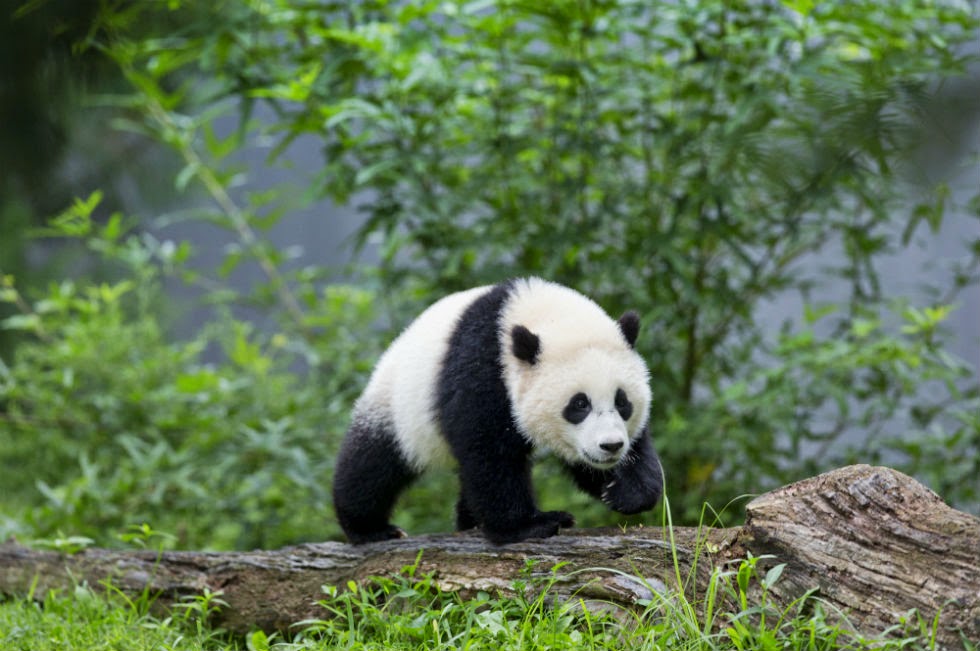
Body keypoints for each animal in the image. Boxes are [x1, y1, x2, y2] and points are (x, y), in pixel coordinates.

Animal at [332, 277, 664, 545]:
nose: (611, 446)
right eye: (579, 404)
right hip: (400, 406)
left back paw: (468, 522)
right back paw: (370, 528)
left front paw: (625, 491)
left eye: (622, 402)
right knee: (374, 463)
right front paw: (531, 525)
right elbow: (489, 452)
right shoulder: (483, 369)